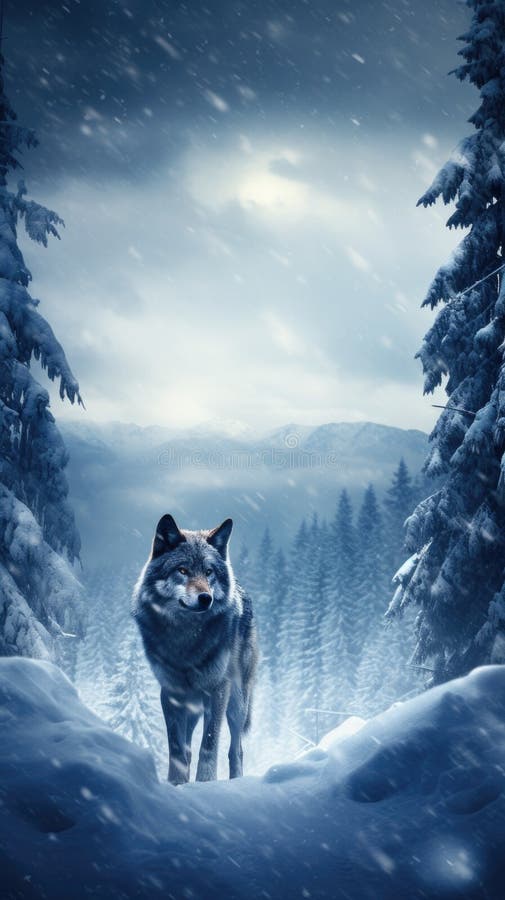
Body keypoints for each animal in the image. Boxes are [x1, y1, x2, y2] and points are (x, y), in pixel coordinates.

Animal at [132, 514, 257, 784]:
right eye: (182, 570)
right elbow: (177, 747)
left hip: (237, 703)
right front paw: (176, 783)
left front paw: (205, 782)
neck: (186, 639)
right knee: (189, 746)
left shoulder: (218, 689)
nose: (205, 598)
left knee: (236, 749)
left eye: (209, 572)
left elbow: (209, 744)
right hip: (191, 705)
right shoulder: (170, 693)